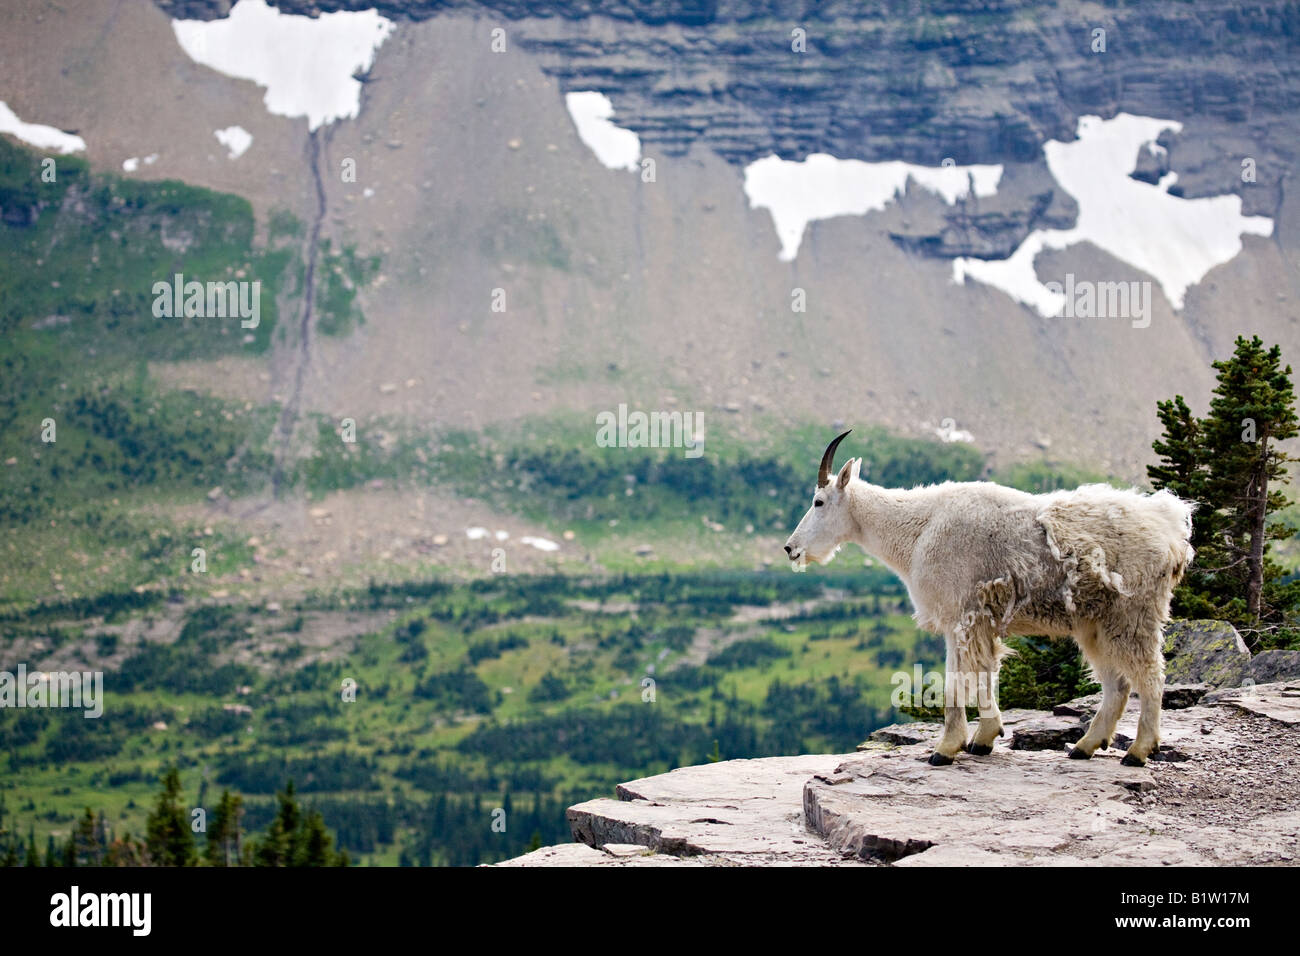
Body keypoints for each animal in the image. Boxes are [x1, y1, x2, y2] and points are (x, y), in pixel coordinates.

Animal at [784, 430, 1194, 767]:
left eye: (819, 501)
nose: (790, 548)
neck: (918, 528)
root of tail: (1173, 528)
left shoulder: (960, 616)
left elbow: (957, 682)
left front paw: (946, 749)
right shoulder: (980, 621)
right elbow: (985, 675)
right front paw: (984, 739)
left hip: (1132, 614)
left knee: (1151, 676)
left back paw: (1138, 751)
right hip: (1094, 624)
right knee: (1117, 685)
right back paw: (1085, 746)